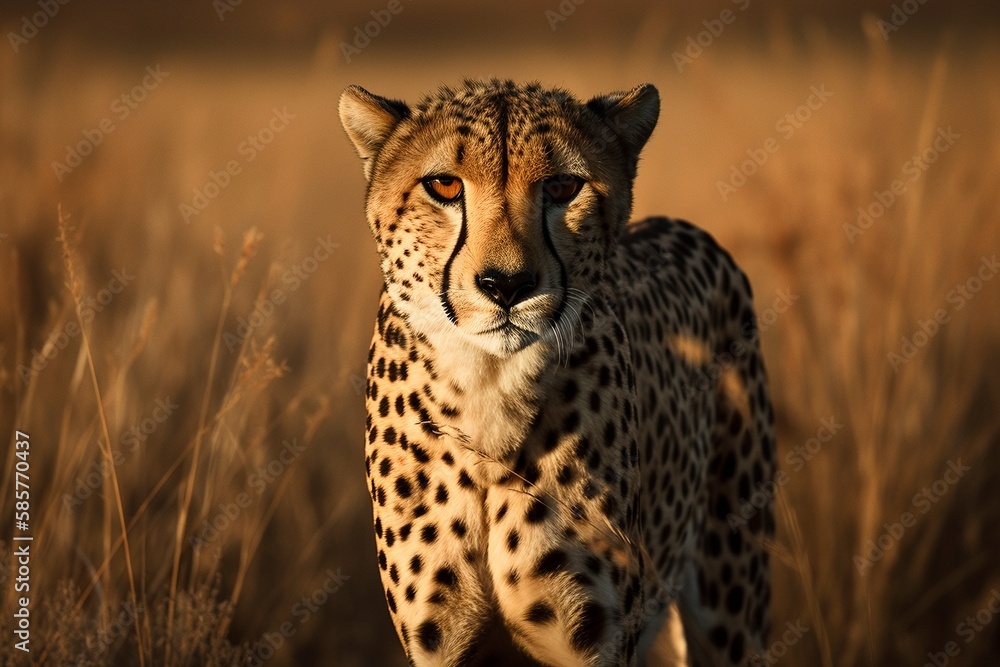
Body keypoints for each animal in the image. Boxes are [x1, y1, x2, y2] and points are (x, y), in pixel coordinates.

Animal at [338, 78, 775, 666]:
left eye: (564, 186)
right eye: (444, 185)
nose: (506, 284)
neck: (489, 391)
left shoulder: (595, 644)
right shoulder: (441, 645)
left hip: (731, 601)